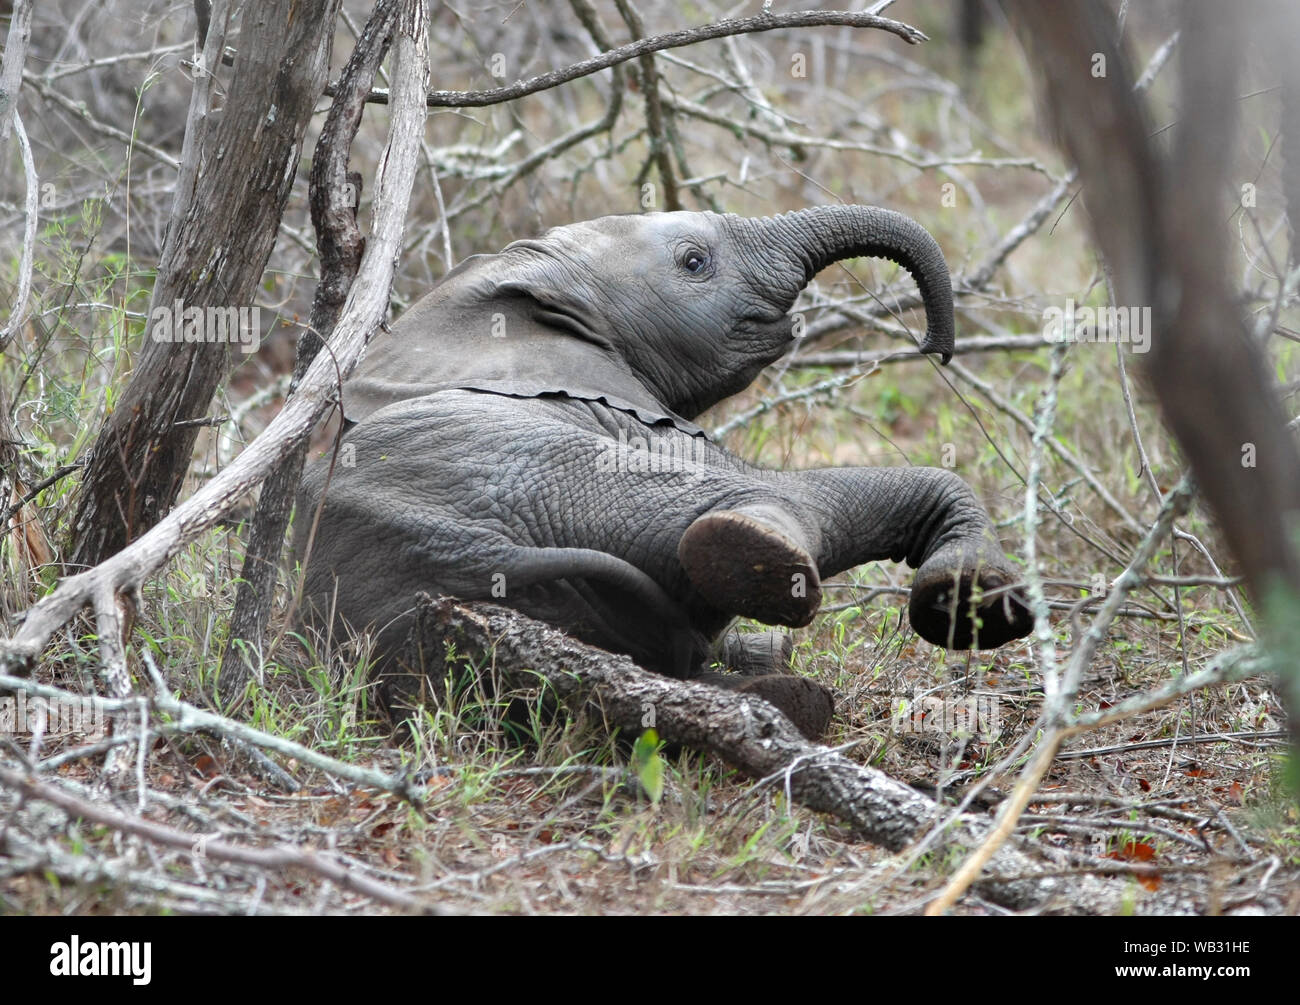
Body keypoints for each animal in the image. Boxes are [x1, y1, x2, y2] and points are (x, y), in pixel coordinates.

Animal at [293, 205, 1033, 739]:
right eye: (694, 261)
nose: (935, 347)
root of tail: (463, 558)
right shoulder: (620, 415)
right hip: (526, 466)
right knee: (764, 504)